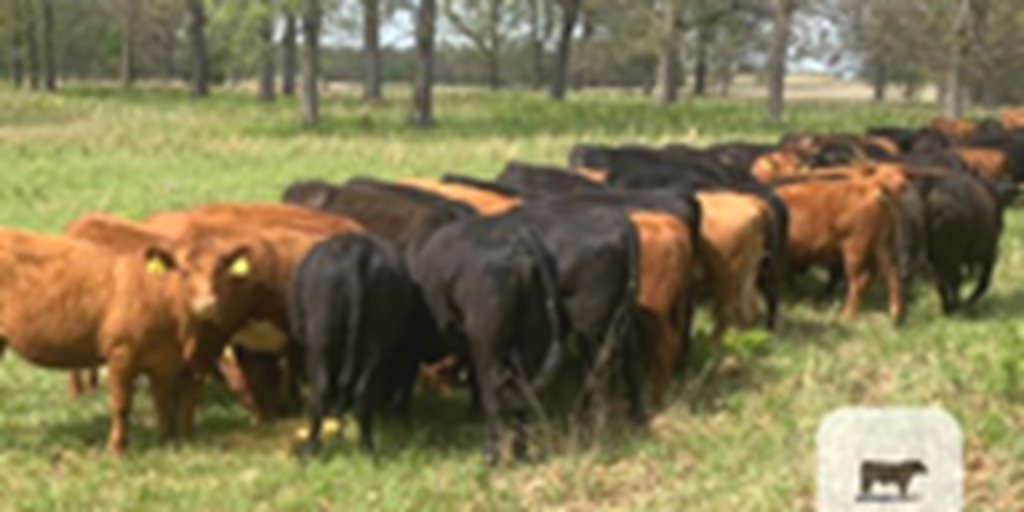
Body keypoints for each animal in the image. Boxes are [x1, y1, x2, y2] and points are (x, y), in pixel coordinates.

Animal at [0, 228, 194, 455]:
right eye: (183, 271)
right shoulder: (121, 353)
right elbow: (122, 404)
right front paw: (117, 448)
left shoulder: (163, 362)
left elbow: (163, 402)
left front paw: (167, 441)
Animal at [289, 234, 420, 458]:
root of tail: (358, 252)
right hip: (375, 341)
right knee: (362, 392)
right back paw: (367, 448)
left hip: (320, 340)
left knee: (321, 389)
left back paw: (310, 449)